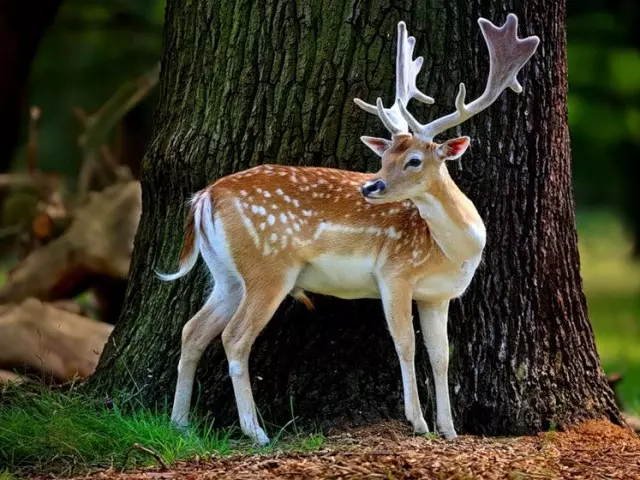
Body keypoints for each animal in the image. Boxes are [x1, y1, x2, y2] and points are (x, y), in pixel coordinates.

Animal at [159, 12, 540, 446]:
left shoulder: (438, 295)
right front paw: (418, 422)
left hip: (226, 274)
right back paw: (256, 432)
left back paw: (180, 423)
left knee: (193, 330)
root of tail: (204, 197)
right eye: (384, 156)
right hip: (267, 267)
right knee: (234, 337)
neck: (456, 251)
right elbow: (406, 345)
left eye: (412, 159)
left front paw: (449, 429)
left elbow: (441, 356)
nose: (370, 186)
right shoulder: (394, 274)